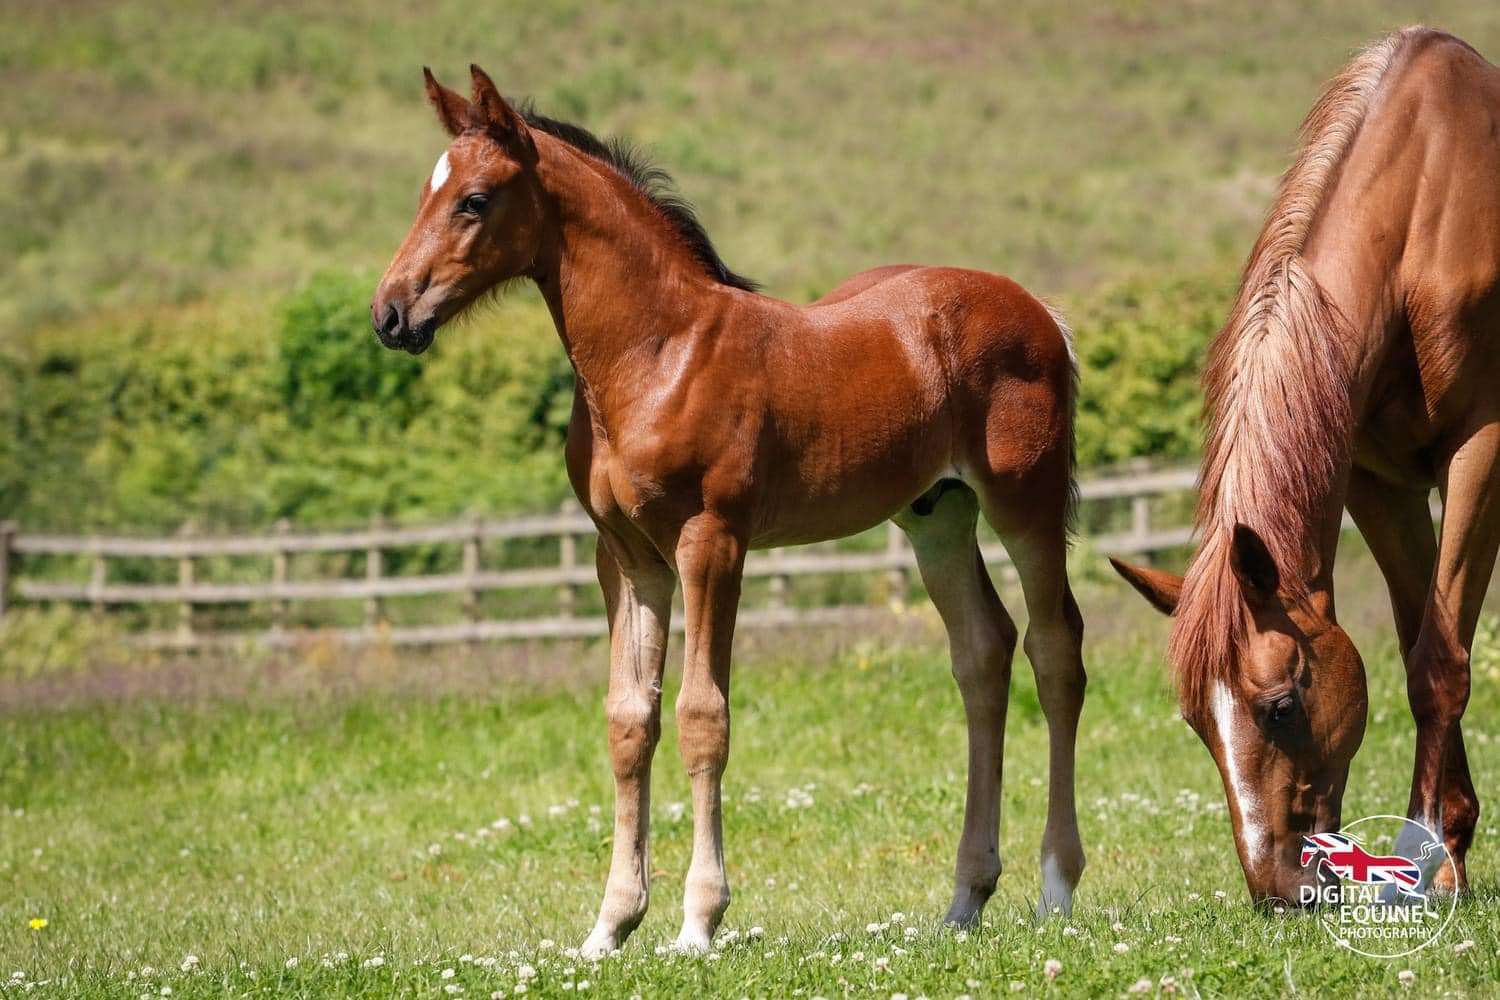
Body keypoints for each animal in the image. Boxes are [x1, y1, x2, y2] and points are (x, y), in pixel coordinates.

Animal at [372, 66, 1085, 954]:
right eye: (423, 195)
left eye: (472, 199)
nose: (390, 314)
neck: (658, 355)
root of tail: (1043, 314)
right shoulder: (627, 557)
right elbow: (629, 721)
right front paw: (611, 924)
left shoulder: (711, 542)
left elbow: (702, 715)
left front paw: (697, 920)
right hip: (937, 517)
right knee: (983, 654)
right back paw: (965, 899)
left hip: (1025, 501)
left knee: (1055, 650)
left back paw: (1055, 888)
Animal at [1111, 26, 1500, 905]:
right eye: (1198, 721)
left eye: (1281, 707)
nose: (1278, 890)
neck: (1429, 208)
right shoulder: (1375, 480)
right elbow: (1422, 639)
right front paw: (1448, 845)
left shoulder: (1481, 449)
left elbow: (1440, 661)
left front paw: (1427, 864)